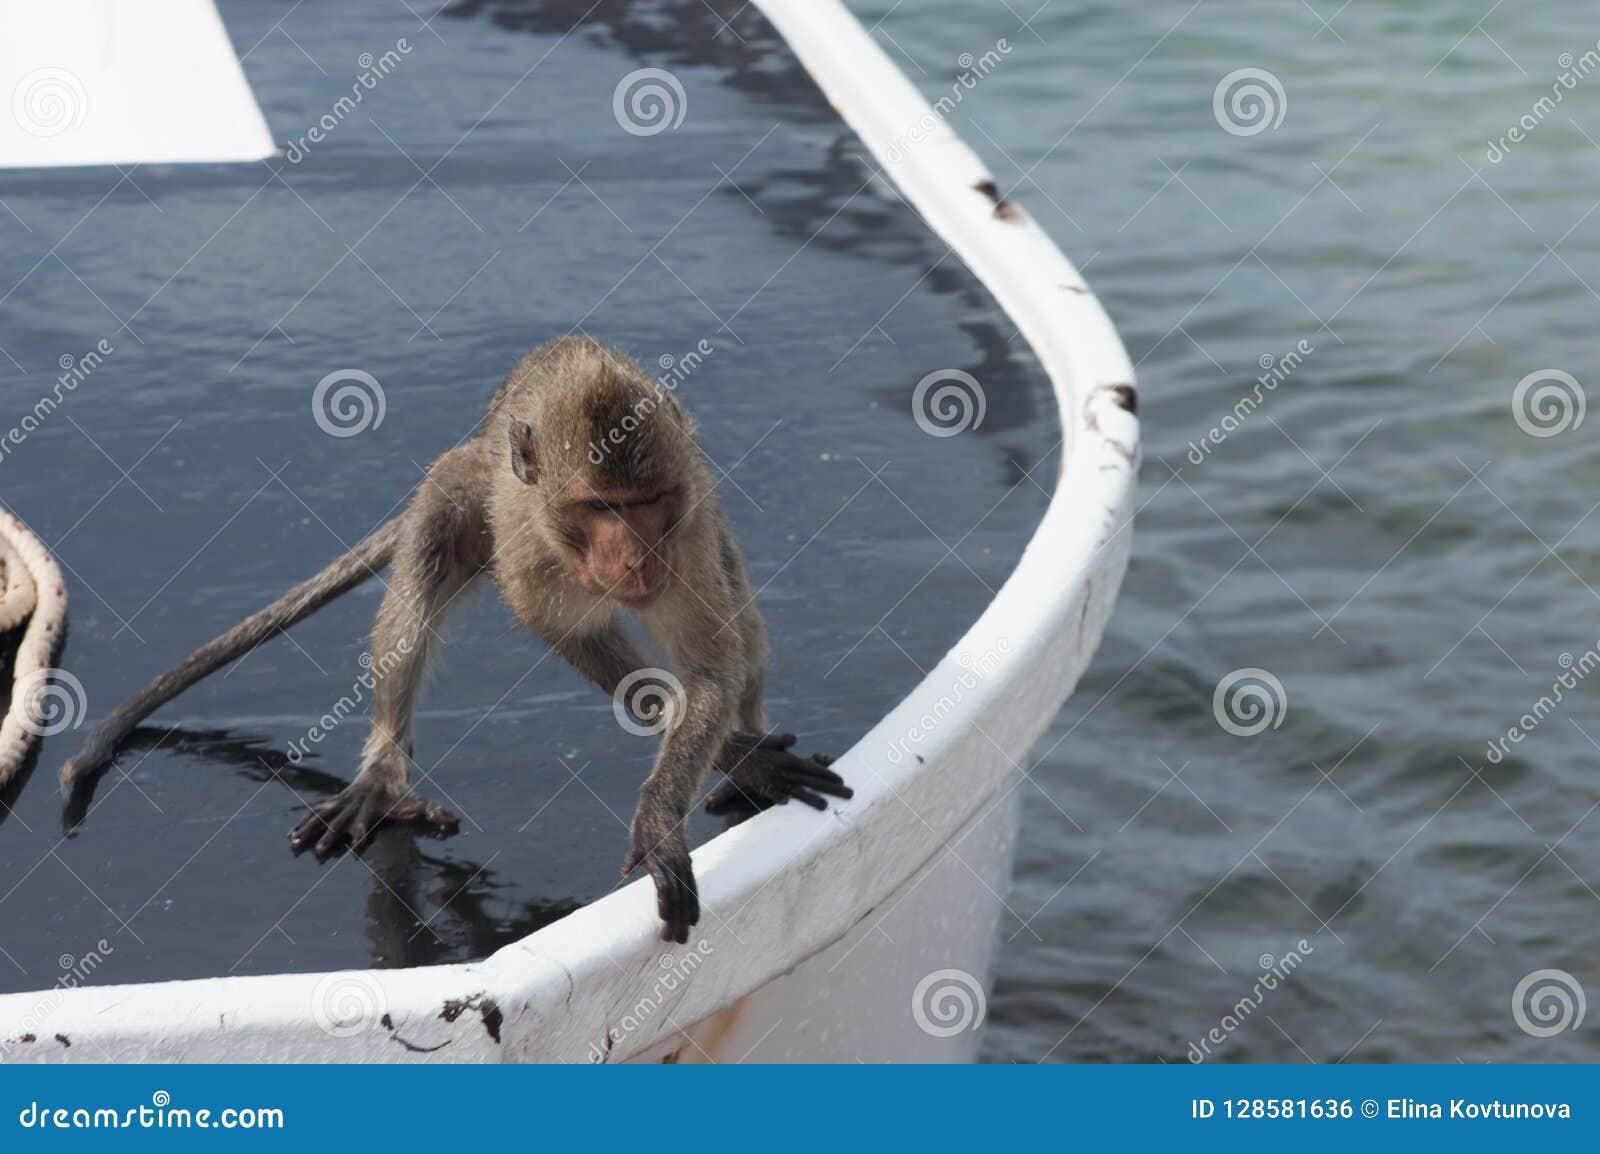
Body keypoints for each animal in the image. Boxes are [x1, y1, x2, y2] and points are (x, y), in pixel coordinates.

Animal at [58, 336, 851, 942]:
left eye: (647, 504)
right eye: (600, 508)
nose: (635, 560)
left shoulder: (686, 534)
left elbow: (712, 671)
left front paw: (689, 798)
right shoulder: (528, 546)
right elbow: (569, 633)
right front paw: (738, 767)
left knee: (744, 625)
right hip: (469, 486)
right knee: (428, 552)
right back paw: (383, 774)